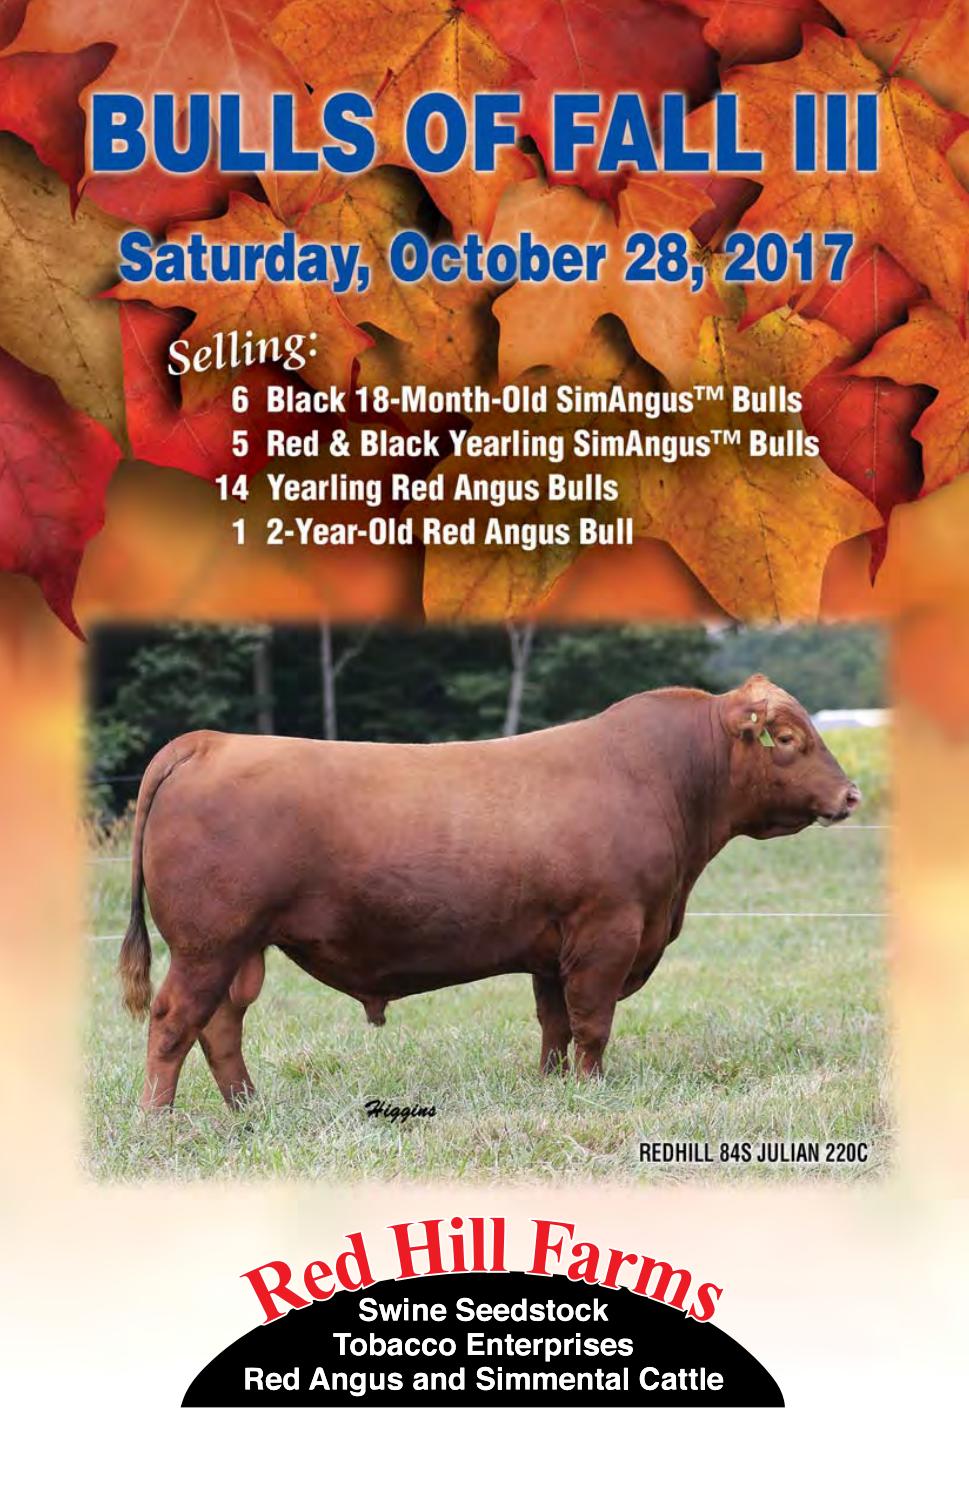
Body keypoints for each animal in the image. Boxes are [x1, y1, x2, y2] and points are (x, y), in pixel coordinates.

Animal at [119, 673, 861, 1110]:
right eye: (786, 737)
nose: (851, 794)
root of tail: (210, 741)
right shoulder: (607, 931)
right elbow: (592, 1022)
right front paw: (592, 1091)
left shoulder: (553, 948)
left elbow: (555, 1024)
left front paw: (552, 1087)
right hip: (207, 943)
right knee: (173, 1022)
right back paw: (160, 1120)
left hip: (239, 947)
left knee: (221, 1024)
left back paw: (247, 1107)